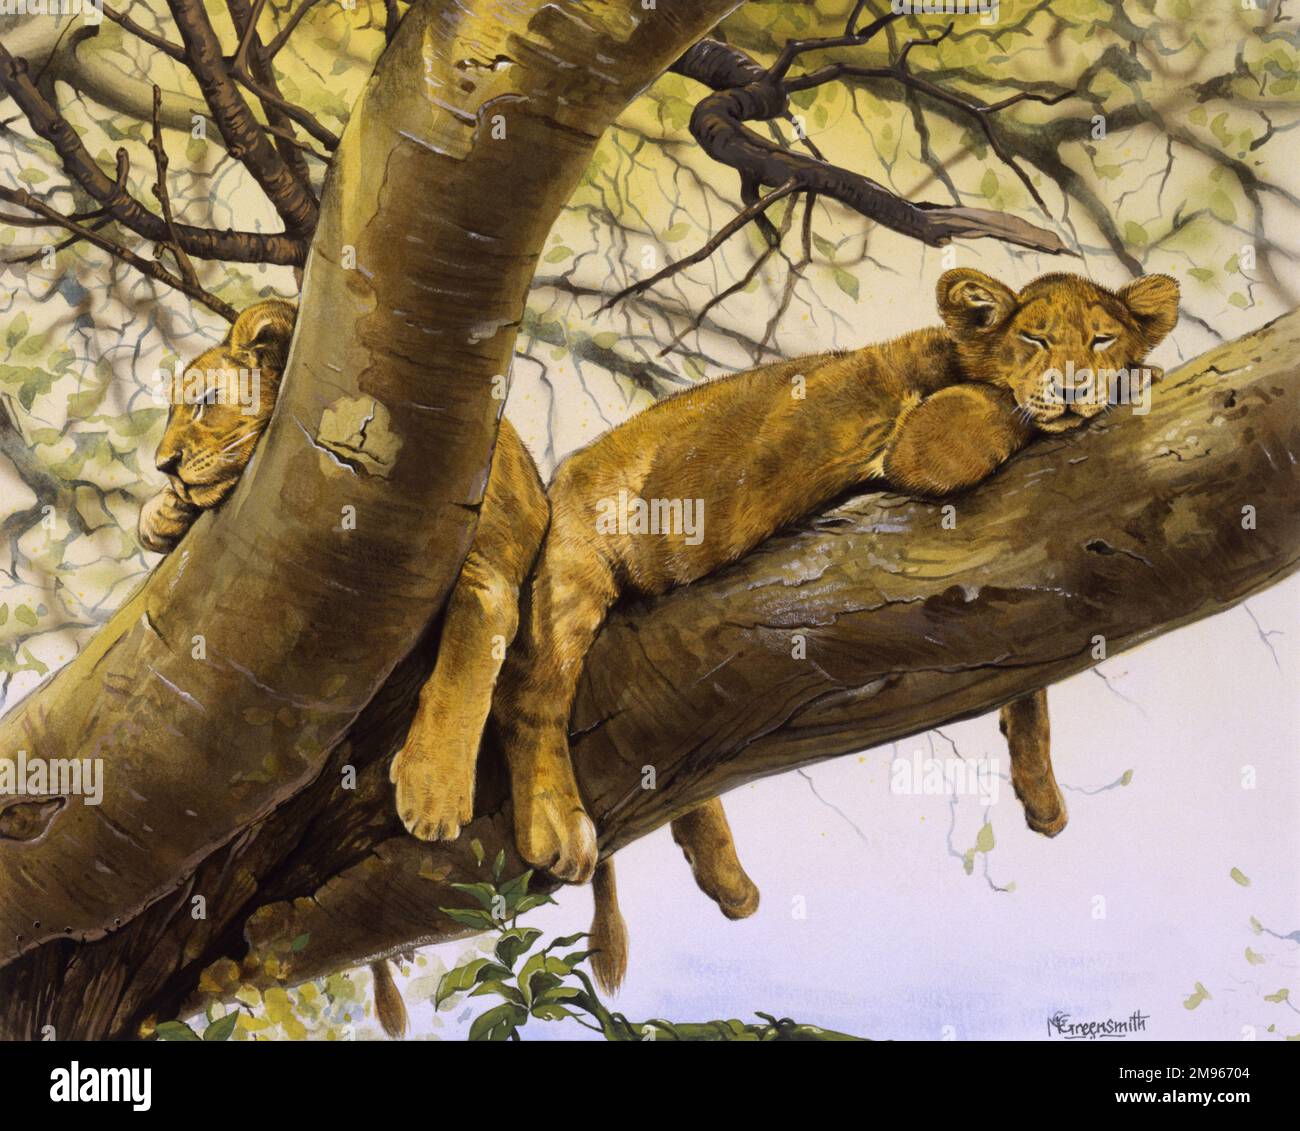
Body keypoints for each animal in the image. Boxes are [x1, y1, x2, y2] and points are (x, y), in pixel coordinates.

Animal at [493, 269, 1180, 885]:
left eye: (1101, 339)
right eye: (1035, 340)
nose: (1074, 385)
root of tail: (565, 470)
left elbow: (1029, 689)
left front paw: (1039, 792)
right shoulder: (924, 442)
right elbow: (1002, 408)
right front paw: (1138, 380)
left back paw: (727, 880)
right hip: (574, 560)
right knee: (533, 692)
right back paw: (557, 832)